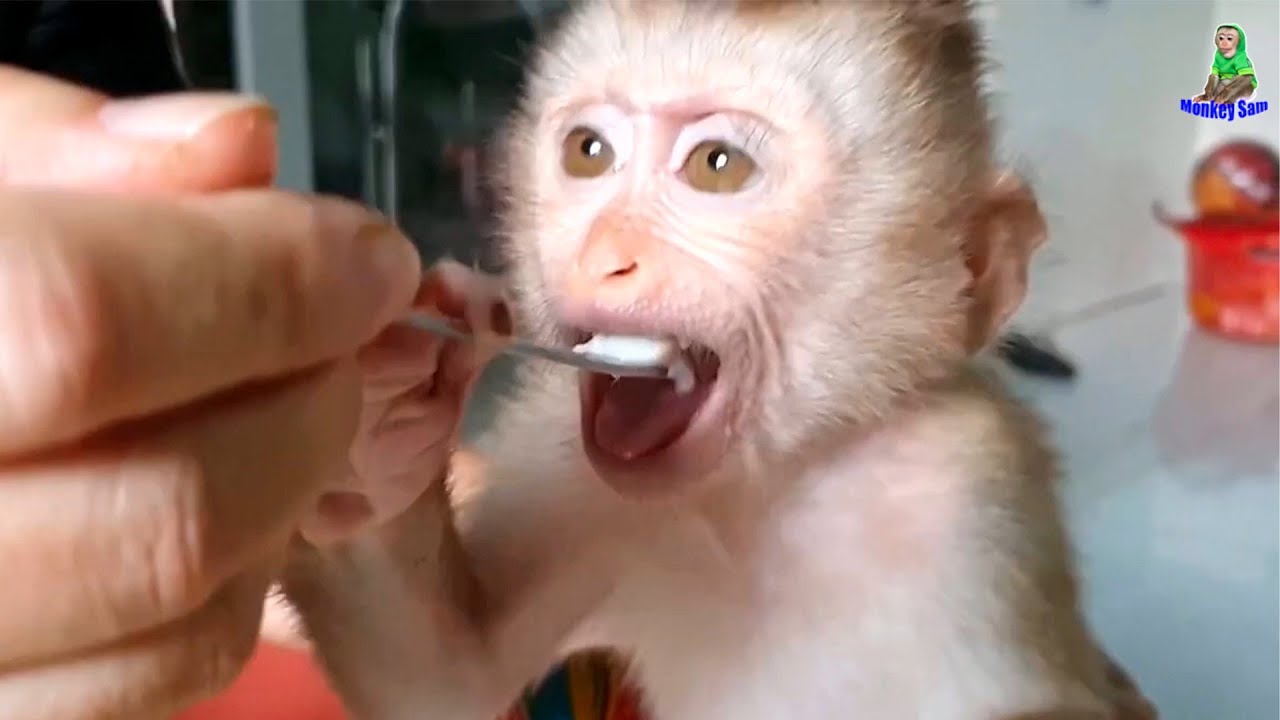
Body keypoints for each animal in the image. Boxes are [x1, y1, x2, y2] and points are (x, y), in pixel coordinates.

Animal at [281, 2, 1158, 718]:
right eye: (588, 152)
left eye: (718, 166)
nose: (604, 257)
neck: (760, 491)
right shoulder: (566, 465)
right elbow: (450, 679)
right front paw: (381, 429)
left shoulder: (973, 489)